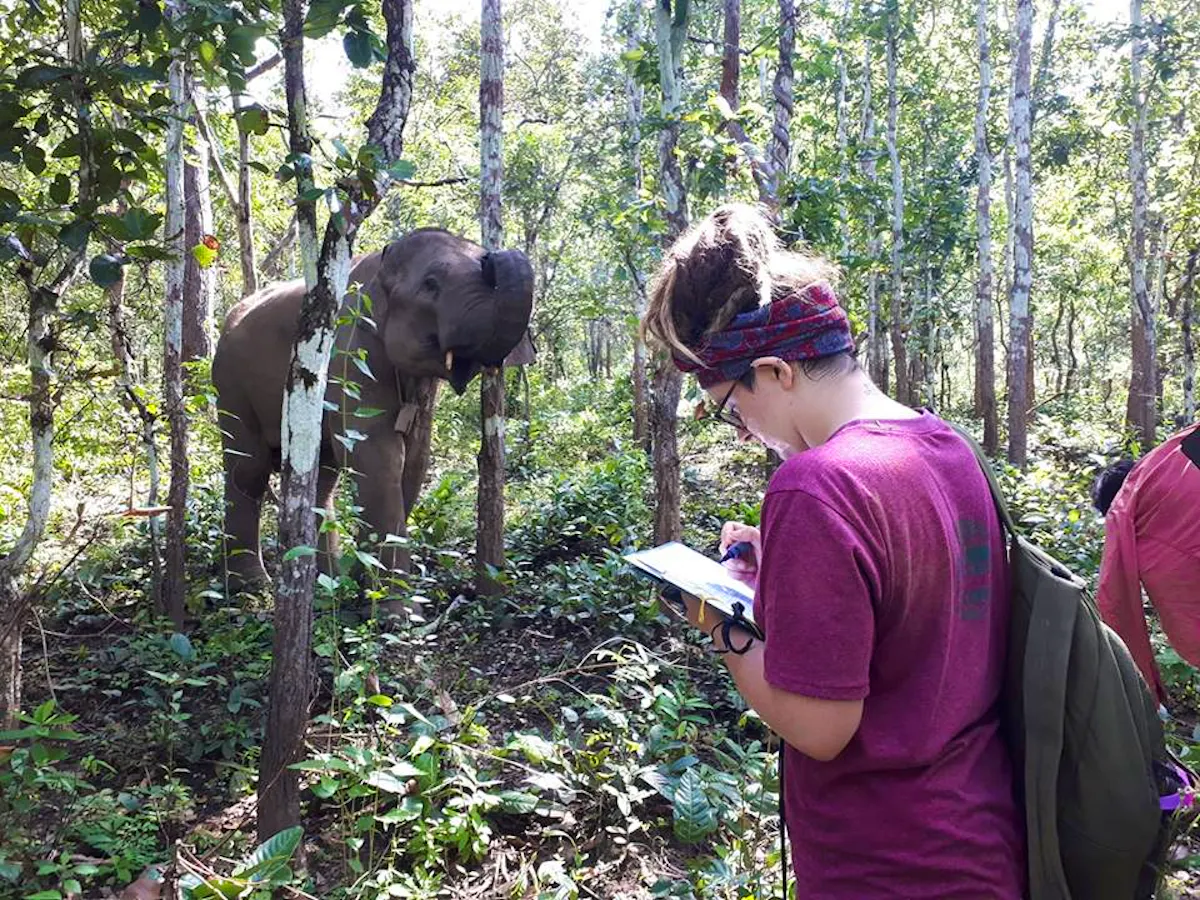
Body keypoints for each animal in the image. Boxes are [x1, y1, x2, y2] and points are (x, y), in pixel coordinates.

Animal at [212, 228, 535, 593]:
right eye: (431, 284)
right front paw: (393, 604)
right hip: (228, 382)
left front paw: (363, 582)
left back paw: (326, 581)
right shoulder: (350, 352)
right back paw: (251, 585)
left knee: (321, 478)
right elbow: (378, 457)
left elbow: (415, 458)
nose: (493, 256)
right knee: (248, 470)